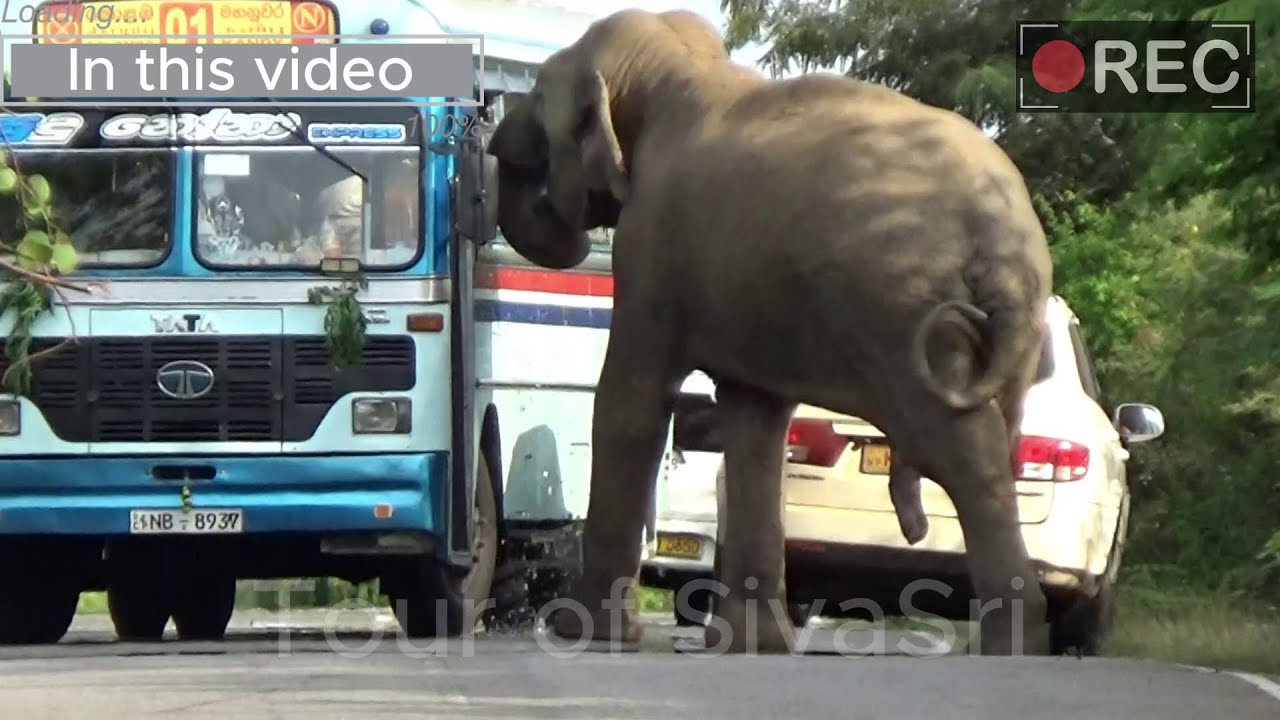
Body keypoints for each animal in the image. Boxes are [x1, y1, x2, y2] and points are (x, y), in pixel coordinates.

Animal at [486, 8, 1054, 655]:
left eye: (536, 97)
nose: (490, 143)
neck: (679, 69)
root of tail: (1002, 231)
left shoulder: (651, 251)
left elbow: (630, 405)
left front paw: (583, 633)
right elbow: (754, 422)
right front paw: (750, 644)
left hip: (908, 317)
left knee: (959, 447)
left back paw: (1011, 642)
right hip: (1007, 332)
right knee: (993, 439)